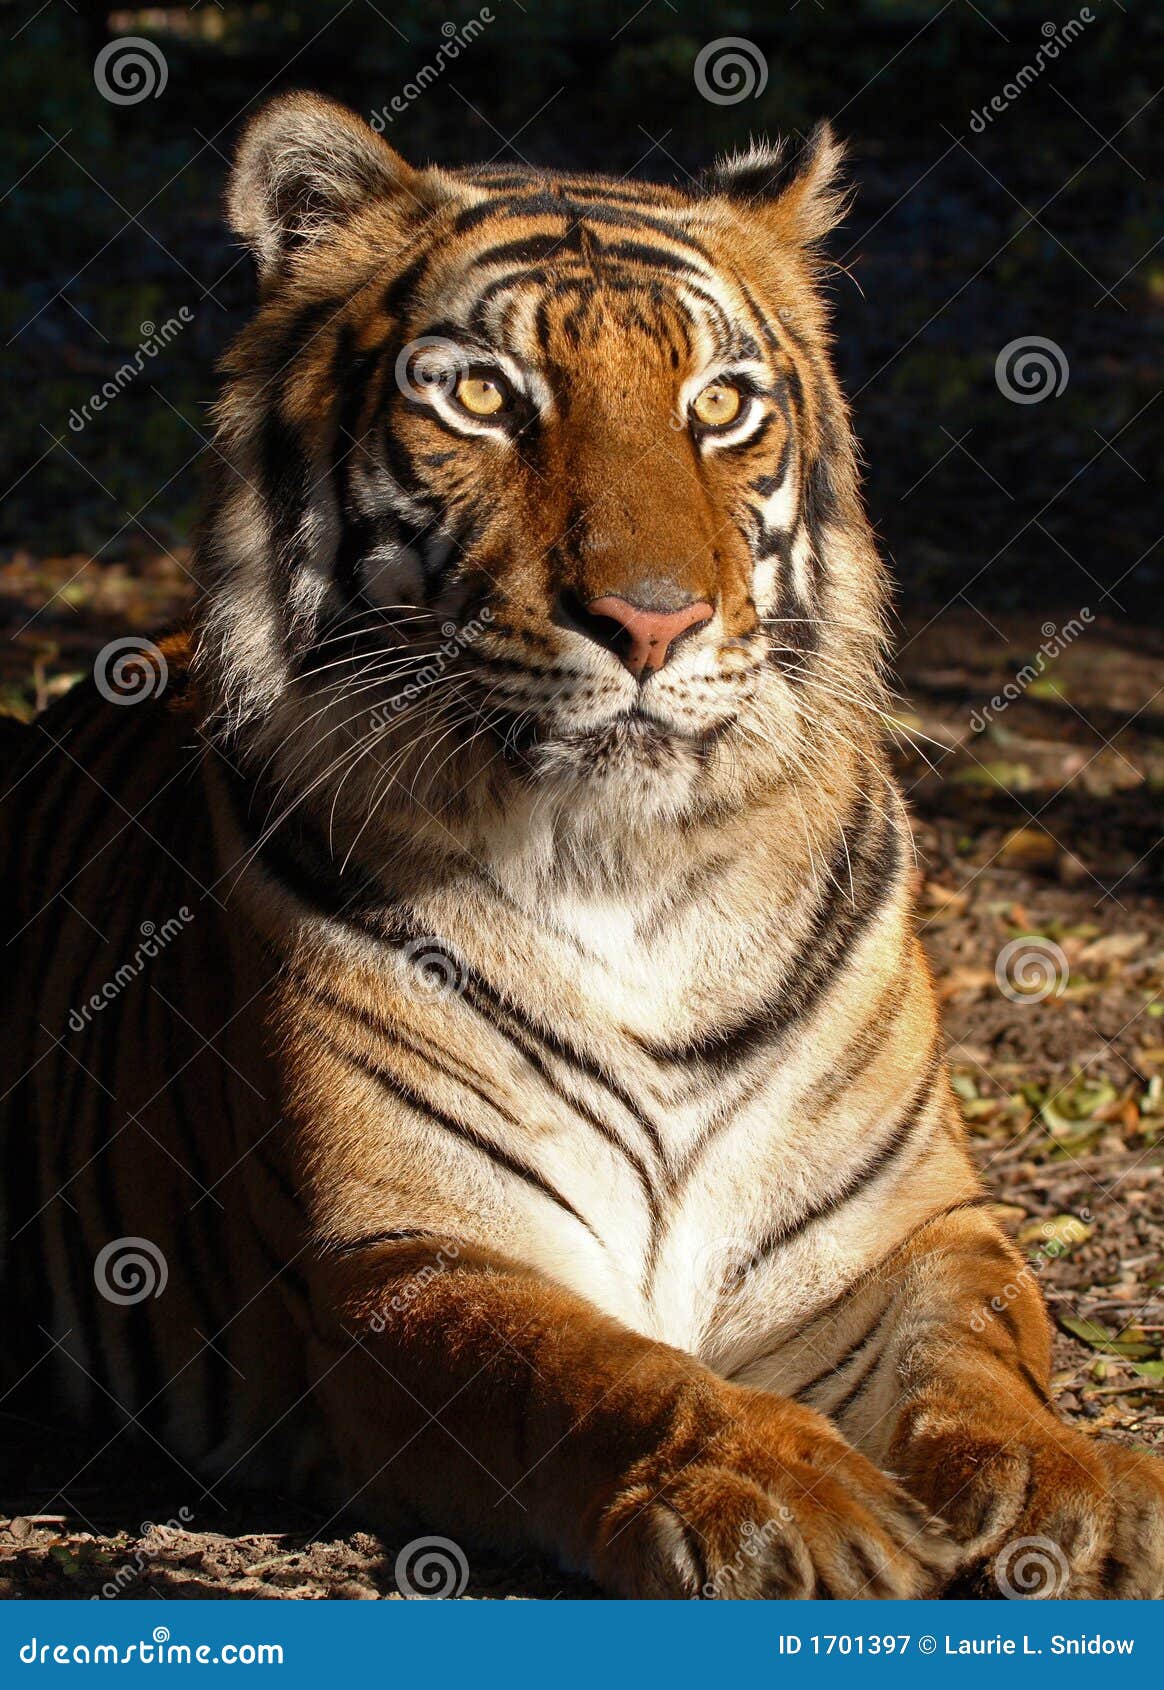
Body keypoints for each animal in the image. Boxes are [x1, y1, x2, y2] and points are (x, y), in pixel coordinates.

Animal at [3, 91, 1162, 1601]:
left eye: (719, 404)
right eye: (485, 397)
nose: (654, 622)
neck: (630, 867)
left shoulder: (902, 1230)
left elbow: (981, 1352)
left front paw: (1077, 1487)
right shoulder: (410, 1254)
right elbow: (589, 1371)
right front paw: (775, 1491)